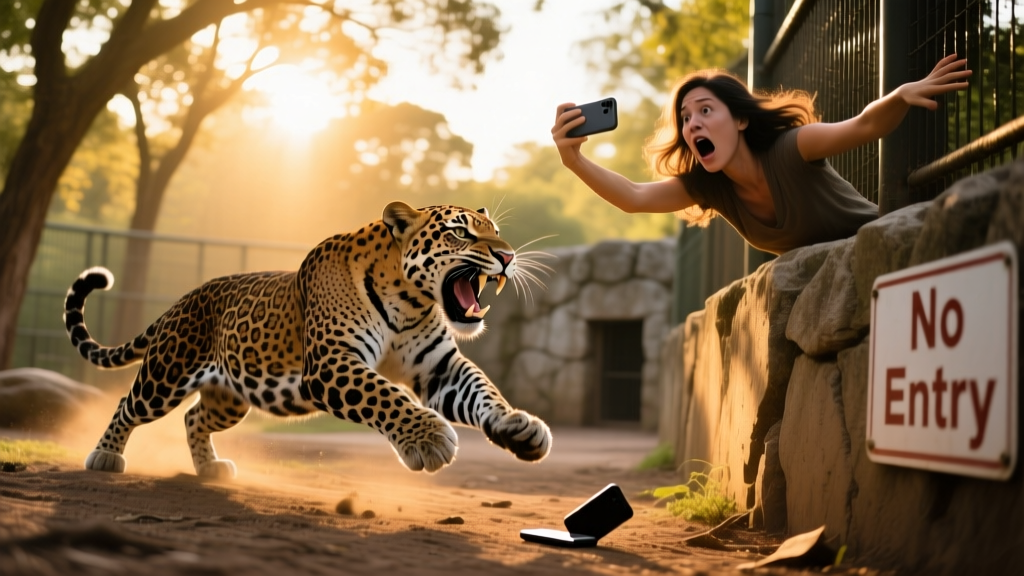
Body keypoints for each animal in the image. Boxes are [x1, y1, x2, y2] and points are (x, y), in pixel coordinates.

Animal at [64, 202, 552, 479]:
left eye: (494, 231)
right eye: (460, 232)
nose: (507, 256)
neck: (410, 301)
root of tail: (183, 299)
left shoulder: (438, 368)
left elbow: (481, 391)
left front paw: (517, 426)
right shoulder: (331, 362)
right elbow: (385, 395)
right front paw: (428, 438)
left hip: (230, 397)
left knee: (194, 417)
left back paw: (209, 469)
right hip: (167, 373)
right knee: (128, 405)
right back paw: (104, 457)